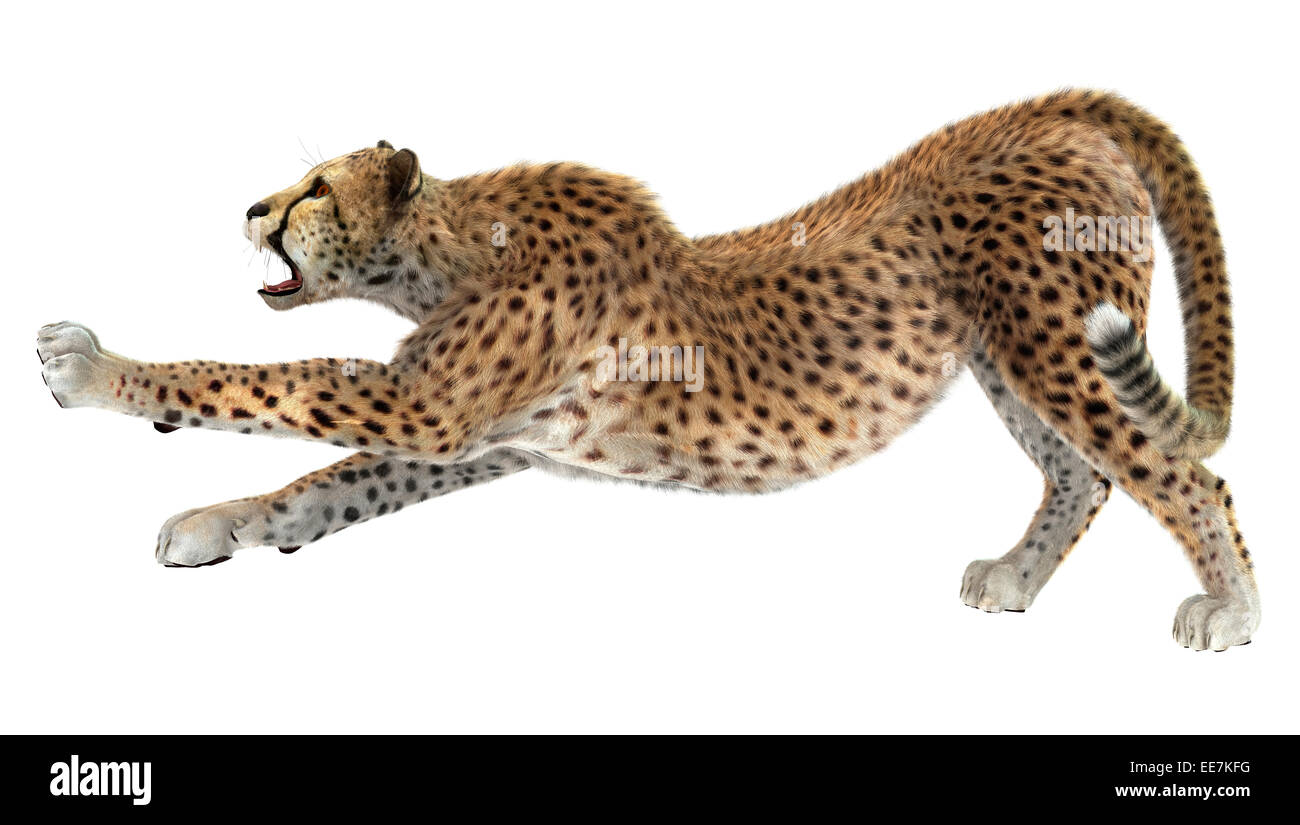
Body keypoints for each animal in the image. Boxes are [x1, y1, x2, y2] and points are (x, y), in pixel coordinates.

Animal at [37, 91, 1256, 650]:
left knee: (1185, 475)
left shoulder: (429, 403)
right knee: (1084, 473)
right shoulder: (478, 434)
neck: (444, 252)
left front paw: (93, 370)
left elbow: (248, 381)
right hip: (1012, 352)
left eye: (315, 190)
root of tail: (1045, 111)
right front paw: (228, 522)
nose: (251, 209)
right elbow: (327, 481)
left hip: (1058, 343)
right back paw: (1016, 578)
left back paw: (1232, 609)